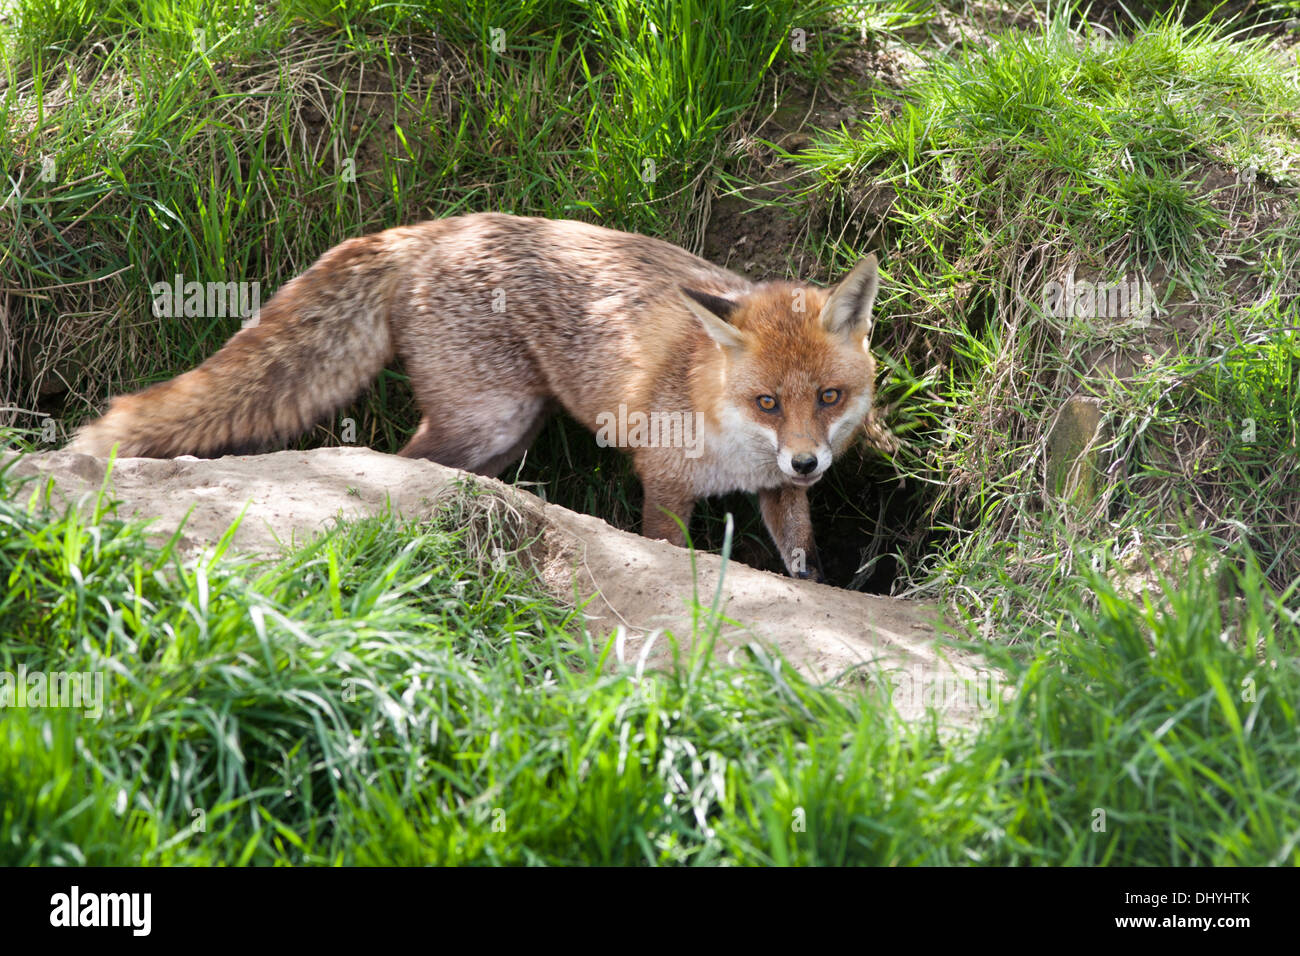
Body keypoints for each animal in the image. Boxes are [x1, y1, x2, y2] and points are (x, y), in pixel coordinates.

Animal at [67, 213, 882, 581]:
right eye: (768, 402)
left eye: (829, 395)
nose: (808, 462)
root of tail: (429, 229)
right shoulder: (664, 481)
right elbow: (666, 546)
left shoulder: (778, 493)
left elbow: (800, 551)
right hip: (490, 421)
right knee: (405, 461)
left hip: (505, 434)